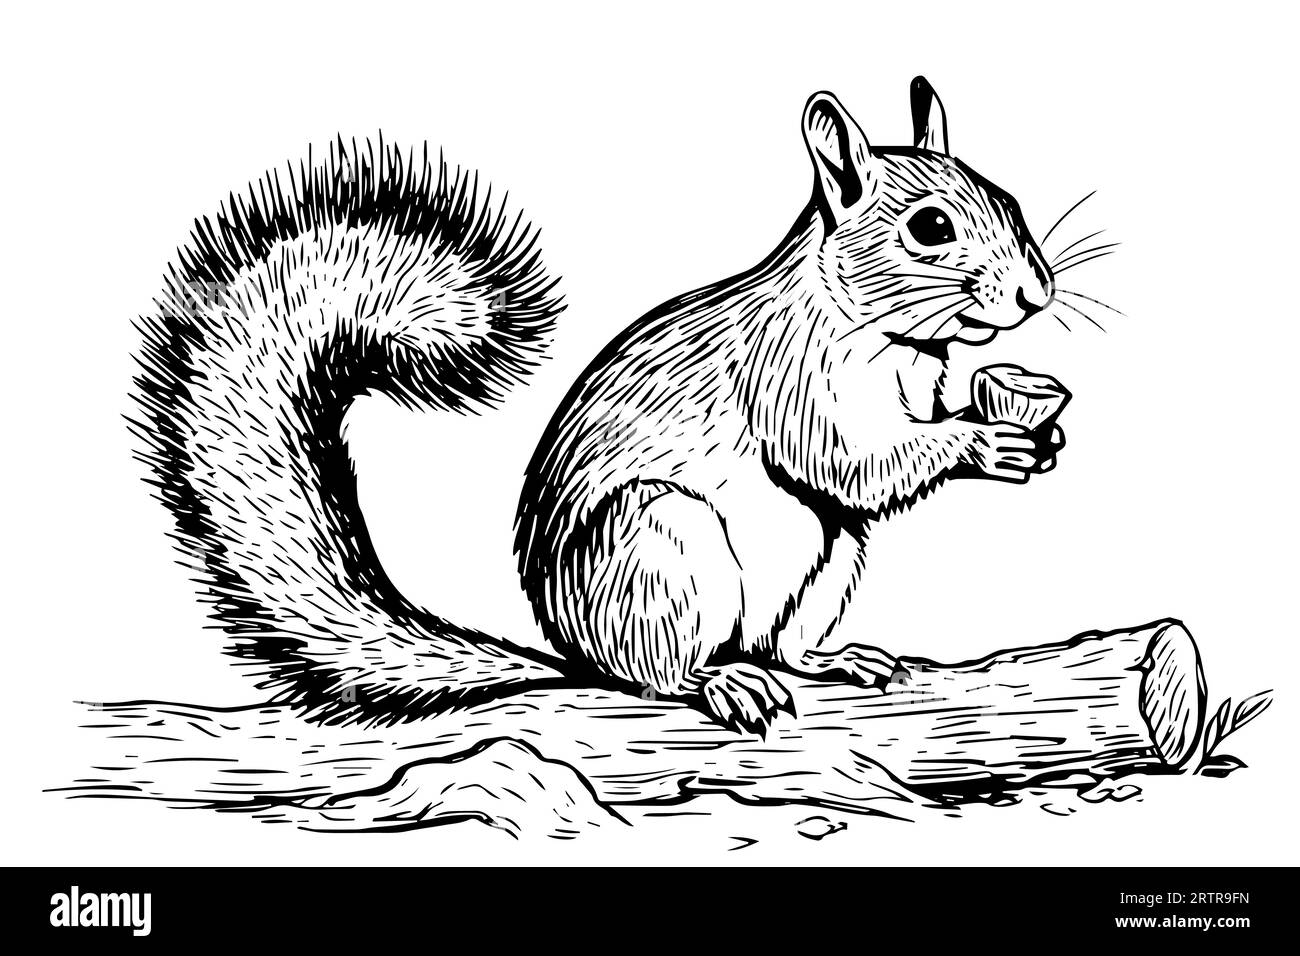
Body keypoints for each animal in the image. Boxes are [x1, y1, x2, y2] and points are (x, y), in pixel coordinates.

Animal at [132, 77, 1059, 732]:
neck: (892, 337)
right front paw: (985, 443)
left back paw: (829, 660)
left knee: (785, 640)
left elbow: (909, 435)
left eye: (1009, 201)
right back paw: (721, 681)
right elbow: (850, 461)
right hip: (661, 544)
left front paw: (1021, 407)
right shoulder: (788, 379)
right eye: (929, 228)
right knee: (660, 671)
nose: (1035, 294)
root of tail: (570, 655)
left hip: (834, 556)